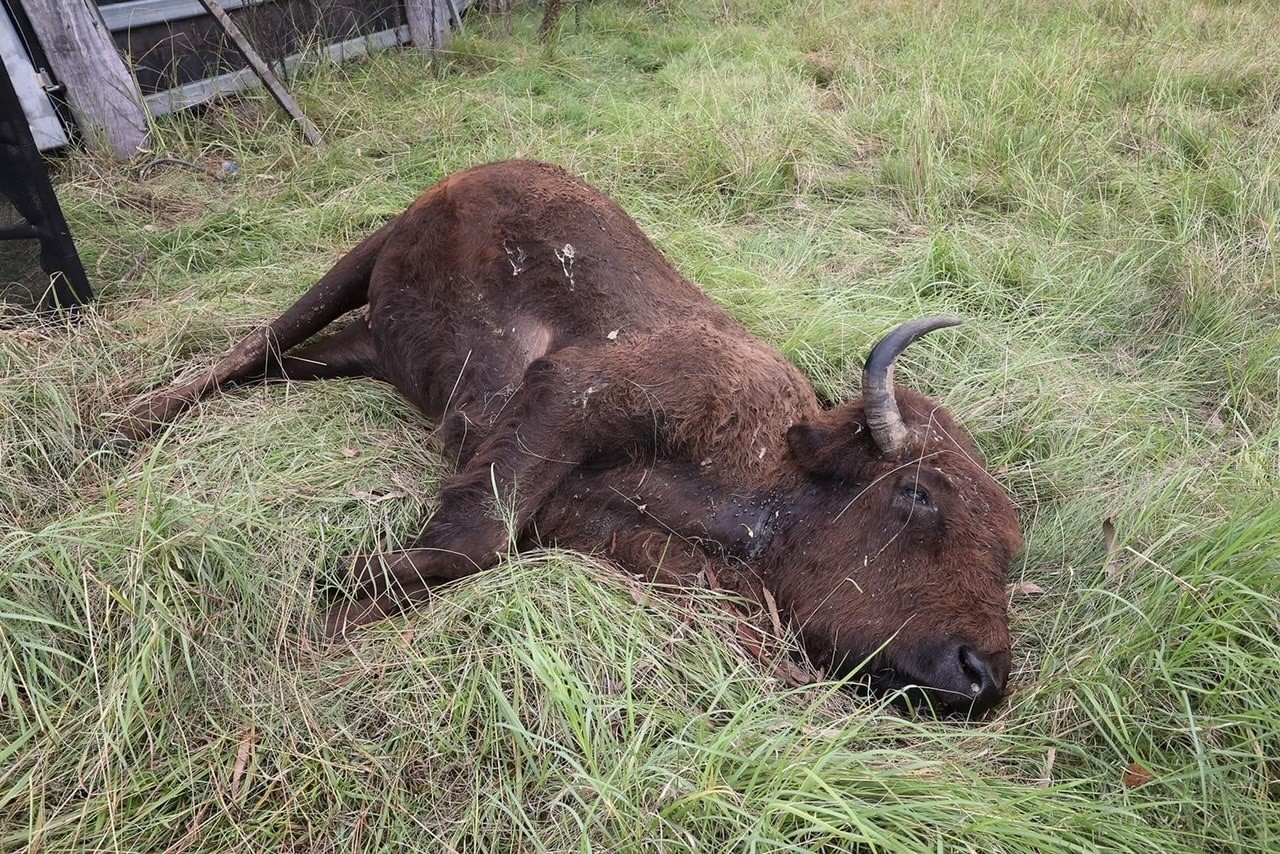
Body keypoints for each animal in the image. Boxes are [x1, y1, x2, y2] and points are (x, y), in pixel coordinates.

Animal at [111, 160, 1023, 717]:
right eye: (916, 493)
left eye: (1008, 550)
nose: (982, 676)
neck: (773, 468)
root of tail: (466, 175)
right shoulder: (573, 397)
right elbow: (478, 535)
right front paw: (340, 592)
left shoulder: (587, 517)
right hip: (352, 268)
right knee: (251, 346)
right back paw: (121, 425)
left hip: (365, 347)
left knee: (273, 363)